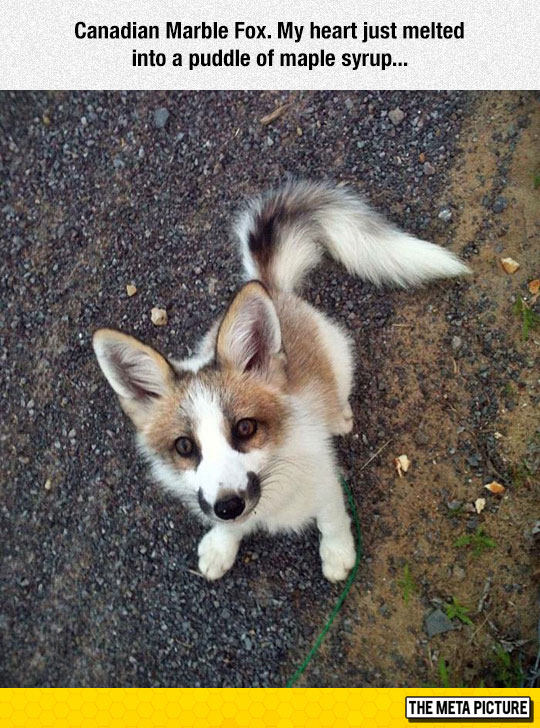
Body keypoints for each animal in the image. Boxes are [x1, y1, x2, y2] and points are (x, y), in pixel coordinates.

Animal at [93, 180, 469, 581]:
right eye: (184, 446)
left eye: (245, 428)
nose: (229, 506)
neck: (275, 473)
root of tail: (270, 288)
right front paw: (222, 544)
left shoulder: (326, 481)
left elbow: (333, 520)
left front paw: (337, 553)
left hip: (339, 354)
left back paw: (340, 415)